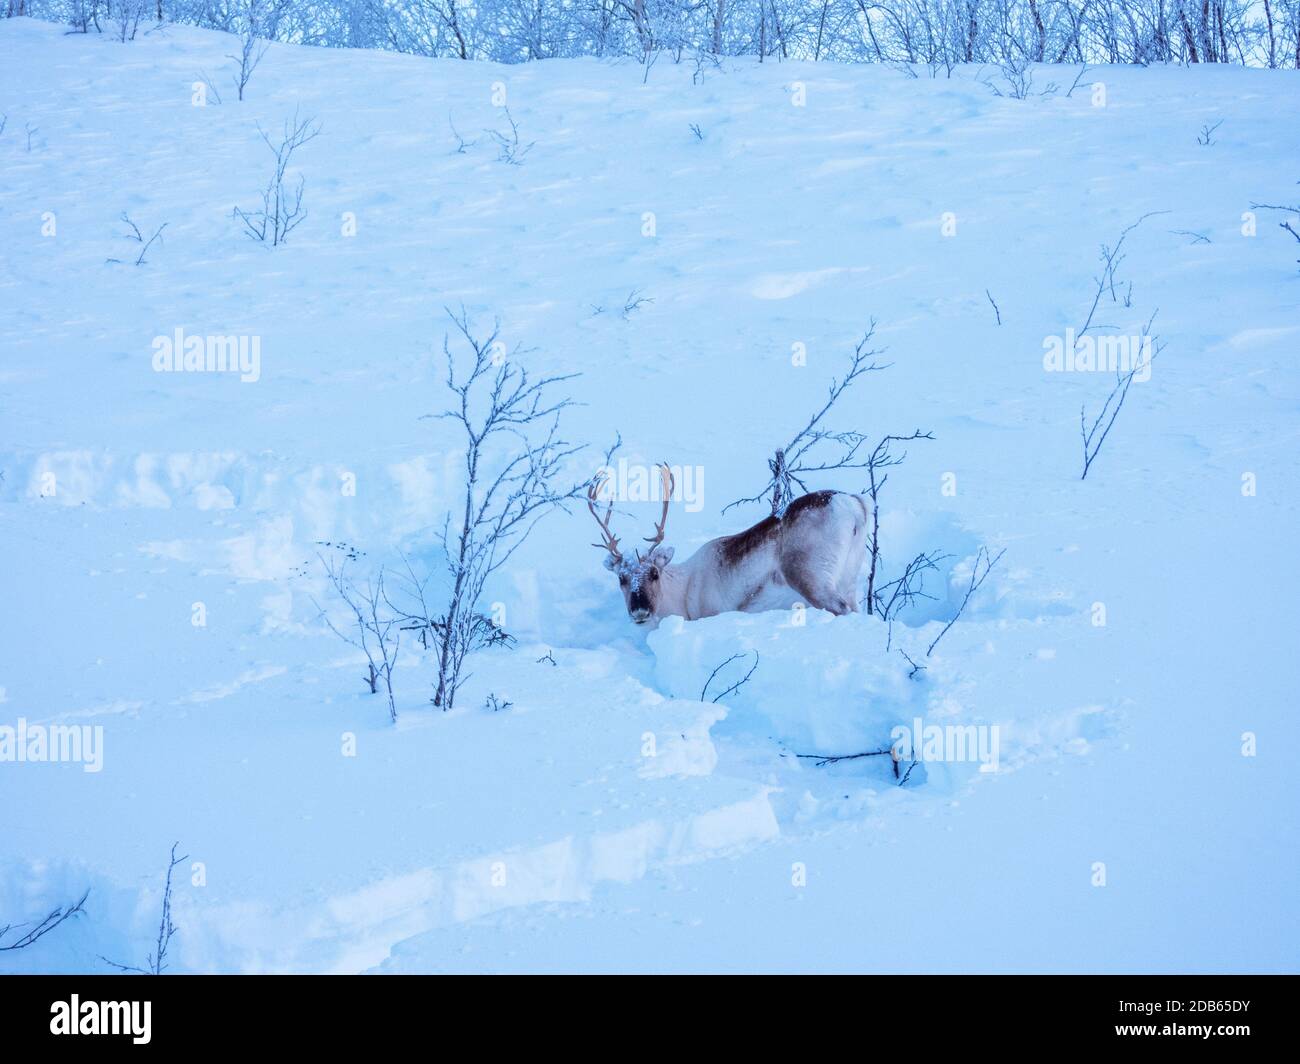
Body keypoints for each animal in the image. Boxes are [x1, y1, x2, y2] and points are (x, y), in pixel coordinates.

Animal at [588, 464, 871, 626]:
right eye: (621, 578)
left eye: (655, 573)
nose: (640, 612)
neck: (681, 593)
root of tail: (853, 504)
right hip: (849, 576)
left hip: (810, 576)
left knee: (840, 608)